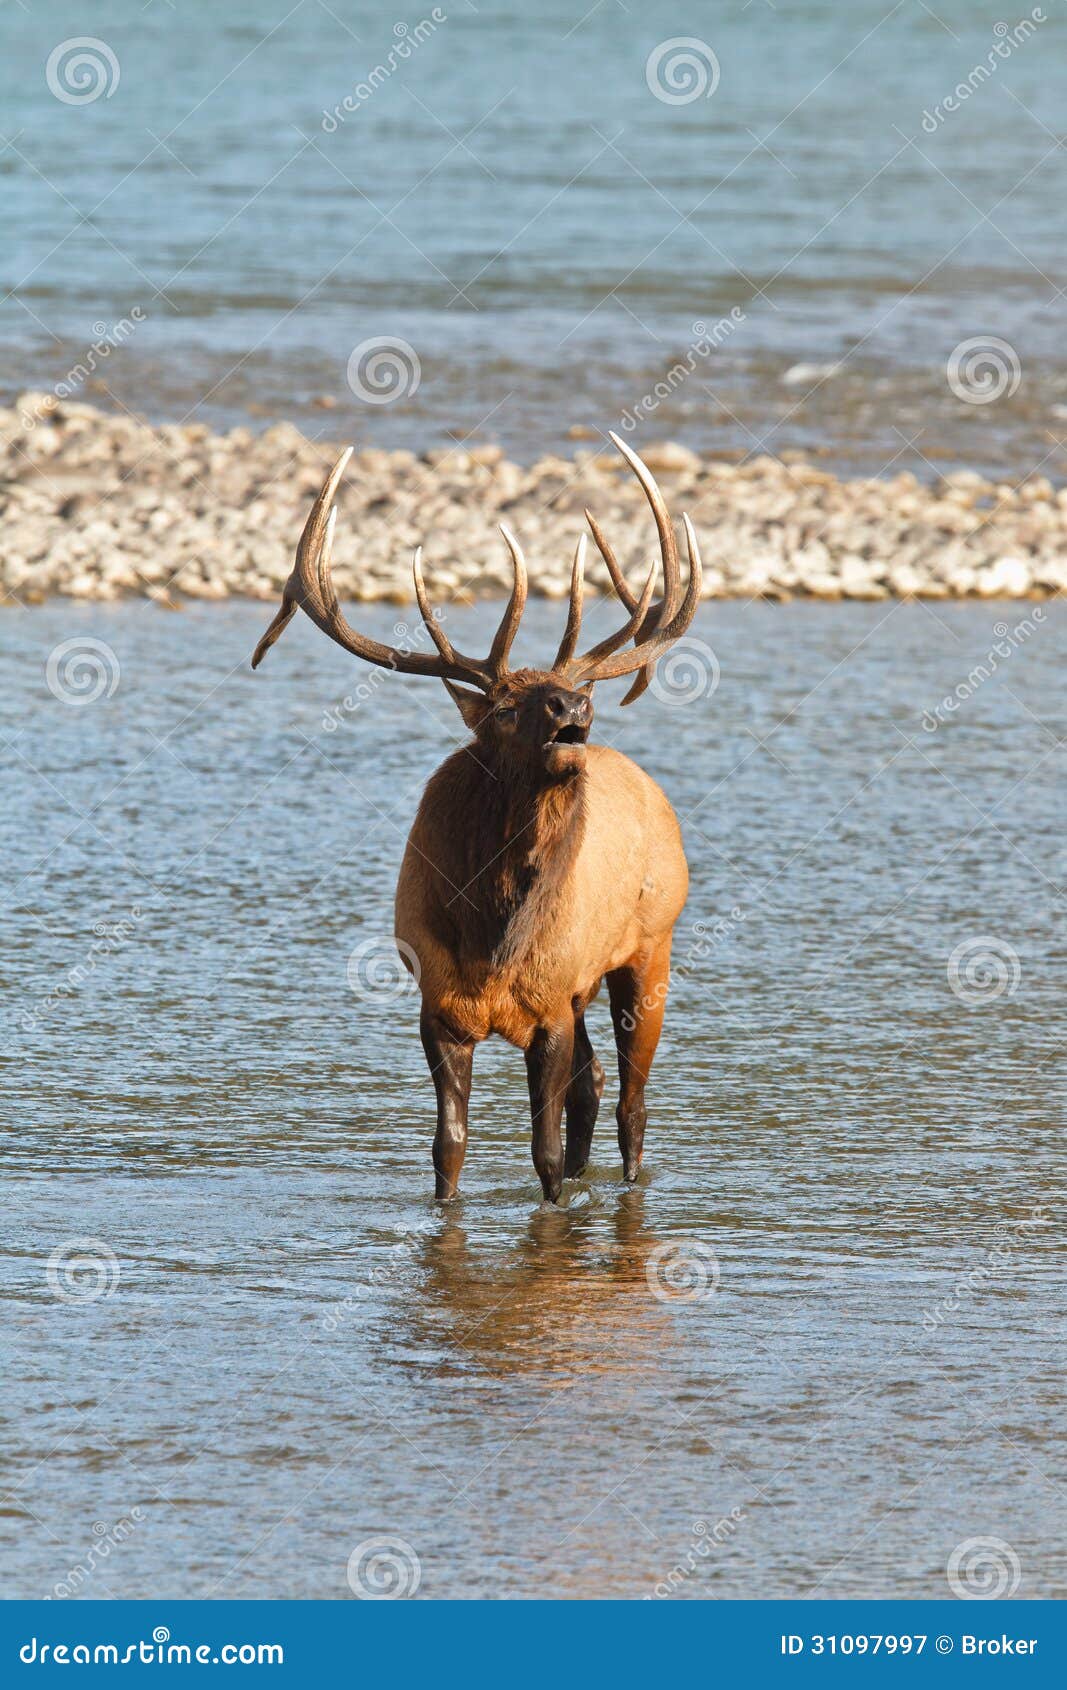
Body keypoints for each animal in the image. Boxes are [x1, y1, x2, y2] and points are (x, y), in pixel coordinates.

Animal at [252, 433, 701, 1205]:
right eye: (504, 708)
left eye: (565, 695)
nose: (574, 707)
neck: (493, 931)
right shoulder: (439, 1005)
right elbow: (448, 1149)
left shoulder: (549, 1008)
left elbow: (543, 1154)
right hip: (585, 987)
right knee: (595, 1085)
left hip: (650, 948)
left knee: (631, 1100)